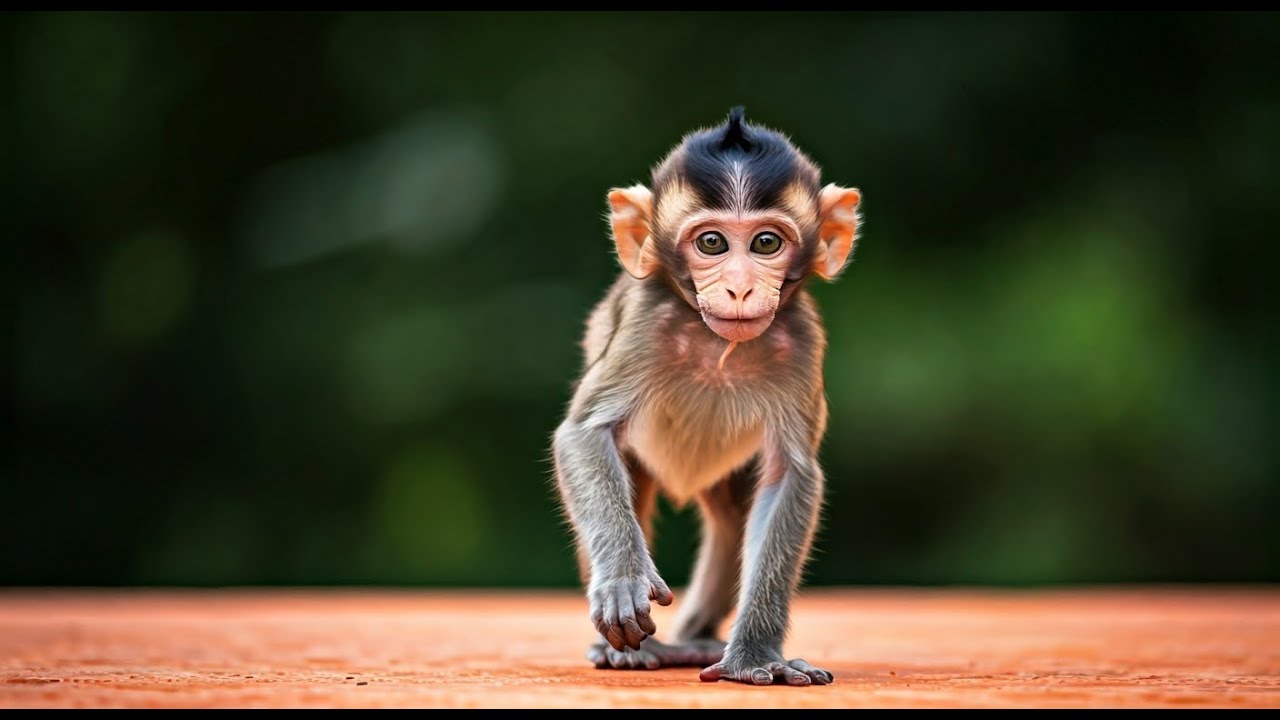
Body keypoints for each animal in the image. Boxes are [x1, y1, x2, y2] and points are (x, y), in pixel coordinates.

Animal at [552, 107, 862, 687]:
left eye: (766, 244)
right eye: (712, 243)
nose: (740, 288)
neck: (717, 343)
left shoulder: (802, 342)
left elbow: (790, 475)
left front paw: (757, 656)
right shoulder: (645, 322)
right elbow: (583, 435)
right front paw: (623, 581)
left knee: (732, 520)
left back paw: (697, 642)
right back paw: (634, 650)